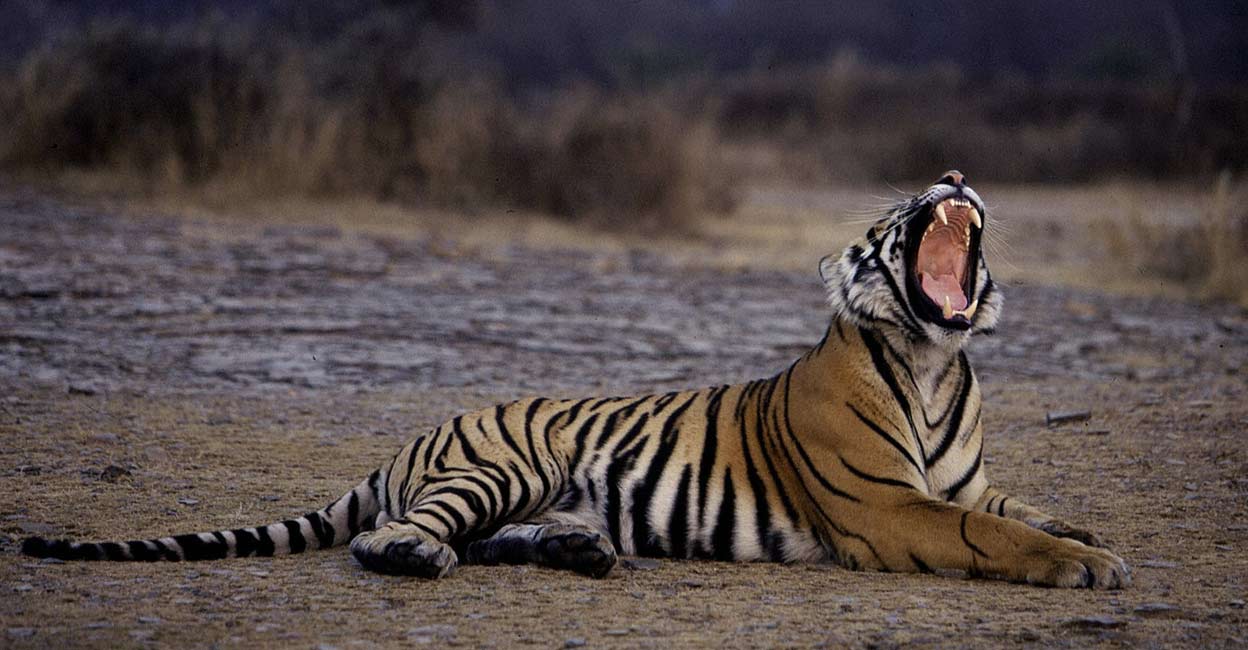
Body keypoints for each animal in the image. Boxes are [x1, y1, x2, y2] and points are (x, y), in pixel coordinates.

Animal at [21, 171, 1129, 589]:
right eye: (896, 209)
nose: (954, 177)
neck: (936, 361)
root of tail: (408, 439)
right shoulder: (890, 509)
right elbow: (994, 533)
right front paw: (1089, 565)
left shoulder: (966, 481)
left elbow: (1024, 505)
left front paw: (1090, 533)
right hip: (501, 463)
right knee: (402, 534)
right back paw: (426, 556)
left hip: (535, 487)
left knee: (500, 535)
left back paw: (579, 550)